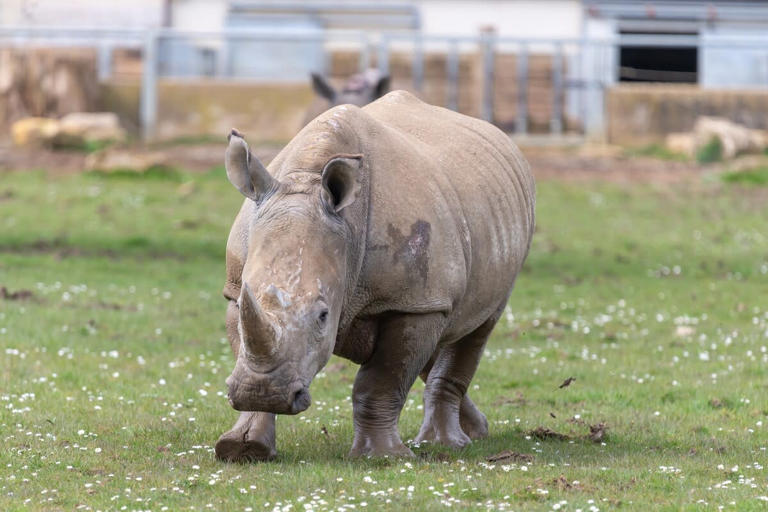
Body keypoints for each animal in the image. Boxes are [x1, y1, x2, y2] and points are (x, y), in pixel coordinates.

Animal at [215, 90, 535, 461]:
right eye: (245, 301)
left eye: (323, 316)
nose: (264, 392)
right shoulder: (236, 289)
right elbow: (245, 346)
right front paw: (242, 448)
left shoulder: (408, 302)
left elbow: (382, 379)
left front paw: (381, 457)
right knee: (443, 329)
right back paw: (475, 431)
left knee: (477, 327)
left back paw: (445, 444)